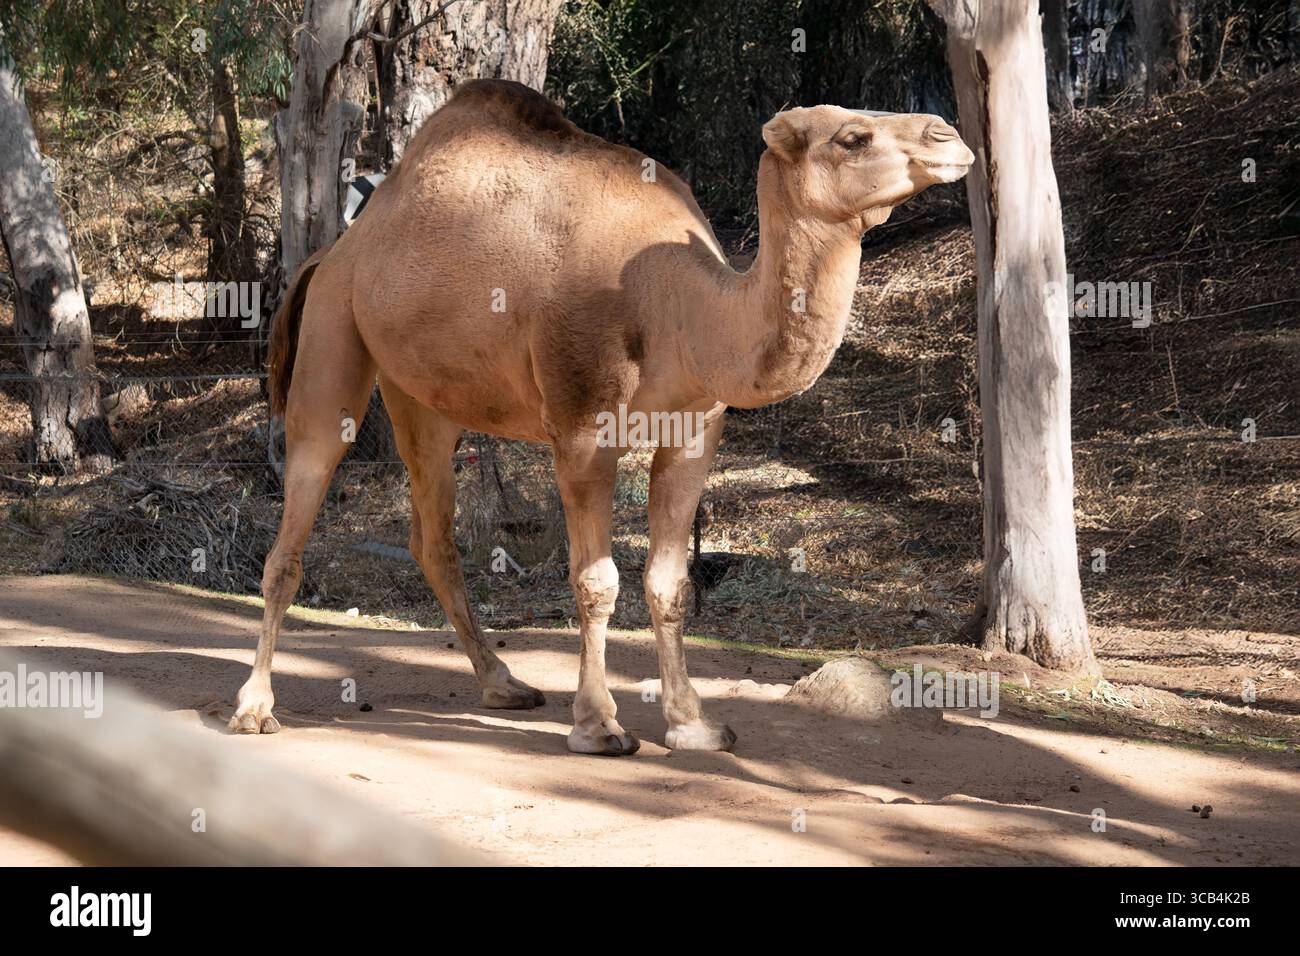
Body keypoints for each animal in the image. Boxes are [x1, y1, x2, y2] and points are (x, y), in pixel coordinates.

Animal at [232, 79, 973, 755]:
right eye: (852, 136)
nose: (950, 137)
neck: (678, 306)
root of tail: (335, 250)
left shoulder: (695, 434)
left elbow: (669, 584)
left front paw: (694, 725)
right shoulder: (583, 429)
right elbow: (595, 581)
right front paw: (599, 726)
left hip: (422, 394)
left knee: (432, 535)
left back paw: (504, 683)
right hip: (334, 334)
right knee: (293, 529)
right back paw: (254, 707)